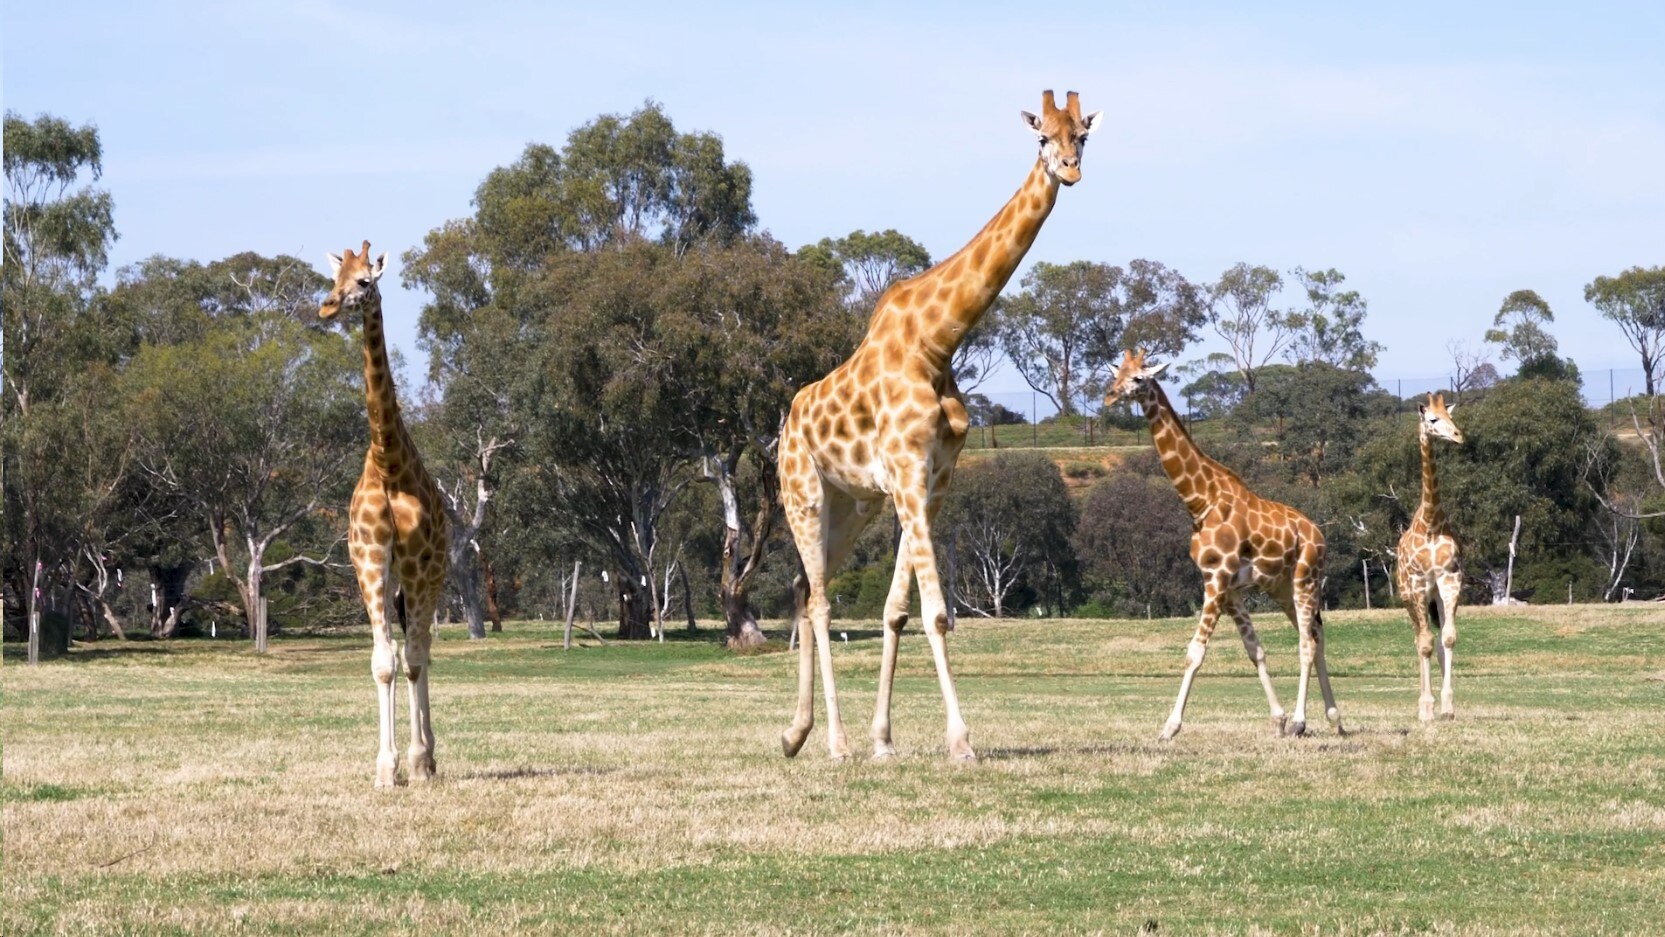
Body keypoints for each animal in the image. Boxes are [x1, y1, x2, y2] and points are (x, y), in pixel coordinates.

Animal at [778, 90, 1103, 762]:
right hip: (803, 494)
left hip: (853, 506)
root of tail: (785, 426)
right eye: (1041, 137)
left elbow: (898, 610)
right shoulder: (906, 471)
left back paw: (796, 734)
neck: (939, 342)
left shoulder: (931, 481)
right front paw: (960, 741)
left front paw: (884, 739)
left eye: (1083, 135)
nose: (1069, 170)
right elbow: (935, 612)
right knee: (819, 601)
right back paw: (835, 743)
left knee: (800, 589)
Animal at [1104, 350, 1344, 740]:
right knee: (1316, 634)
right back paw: (1335, 719)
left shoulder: (1216, 580)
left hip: (1306, 579)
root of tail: (1320, 536)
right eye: (1117, 374)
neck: (1201, 501)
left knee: (1307, 642)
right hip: (1282, 588)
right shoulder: (1229, 589)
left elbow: (1195, 653)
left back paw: (1301, 721)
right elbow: (1254, 650)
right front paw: (1277, 719)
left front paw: (1170, 727)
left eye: (1139, 378)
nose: (1110, 396)